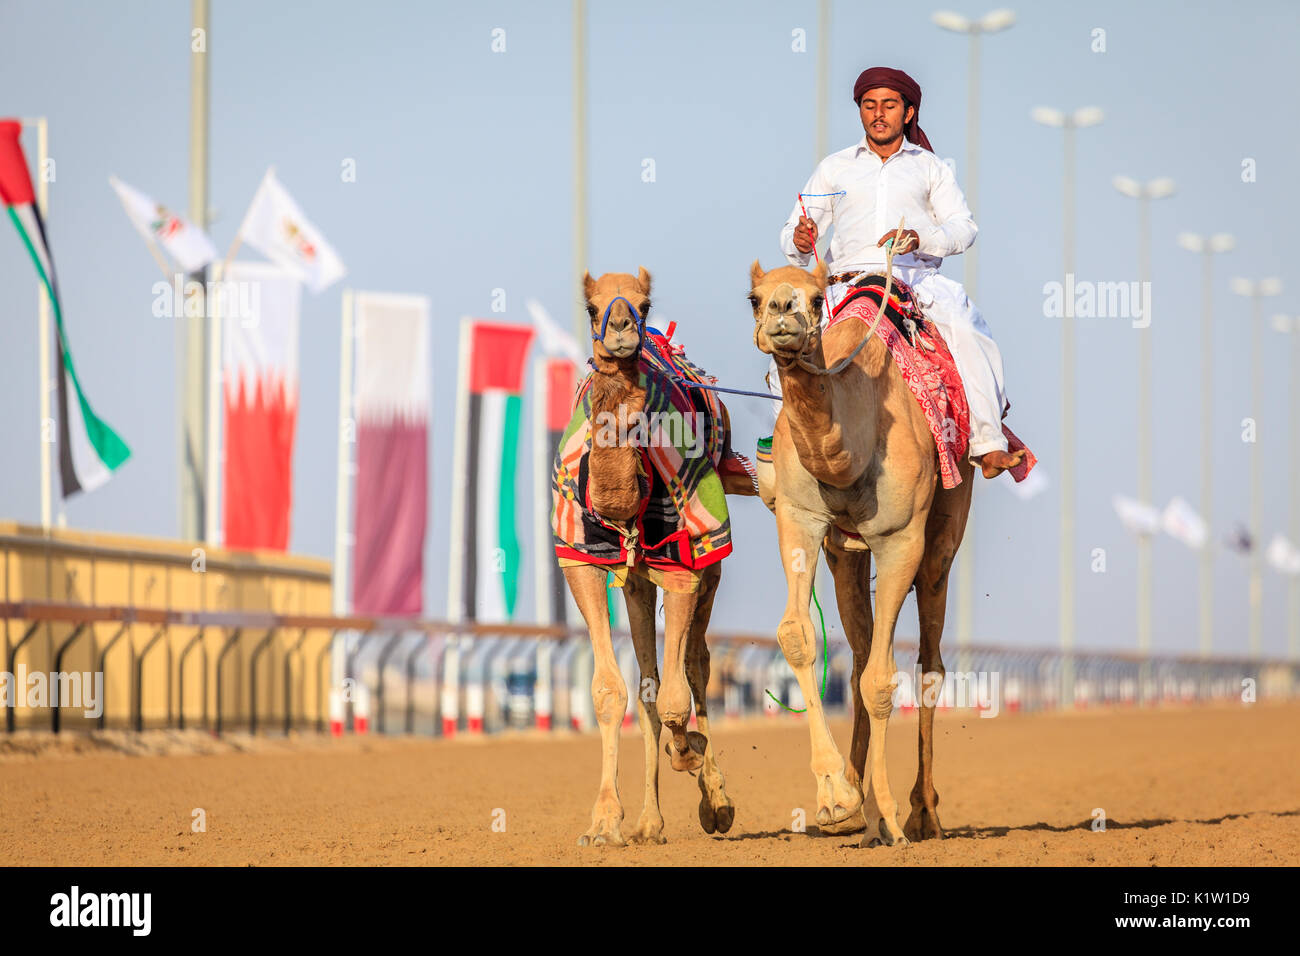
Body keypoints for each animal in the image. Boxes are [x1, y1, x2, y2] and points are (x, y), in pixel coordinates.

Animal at [558, 267, 747, 847]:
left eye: (643, 303)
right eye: (591, 306)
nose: (622, 329)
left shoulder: (685, 564)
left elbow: (677, 697)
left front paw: (694, 760)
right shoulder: (580, 558)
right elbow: (609, 692)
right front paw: (604, 824)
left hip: (708, 565)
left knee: (696, 664)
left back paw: (715, 800)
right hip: (637, 581)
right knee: (647, 682)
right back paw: (649, 822)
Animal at [749, 256, 974, 847]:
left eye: (813, 294)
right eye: (754, 297)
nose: (782, 312)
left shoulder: (900, 539)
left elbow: (883, 679)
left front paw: (890, 815)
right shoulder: (800, 520)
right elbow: (799, 636)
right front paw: (836, 800)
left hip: (943, 536)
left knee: (928, 664)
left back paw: (922, 814)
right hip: (844, 553)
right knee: (859, 653)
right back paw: (858, 806)